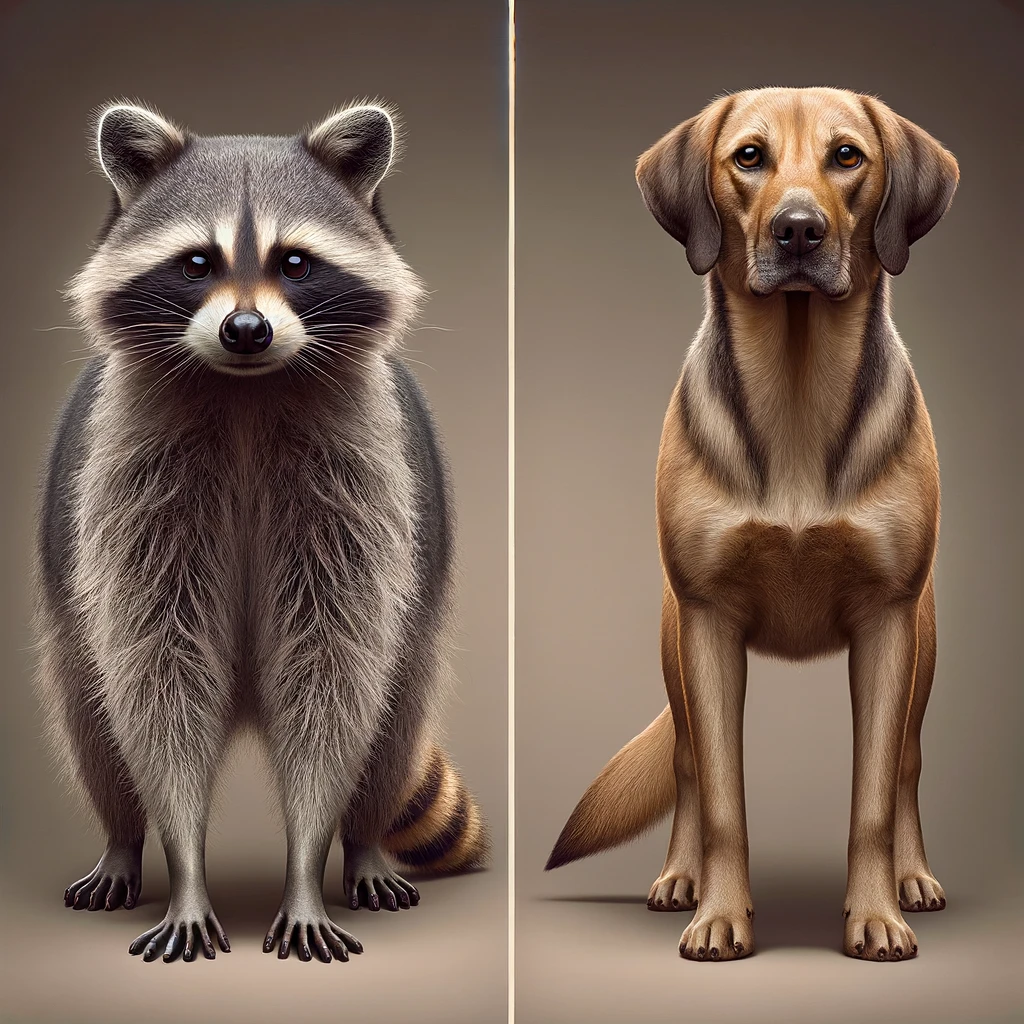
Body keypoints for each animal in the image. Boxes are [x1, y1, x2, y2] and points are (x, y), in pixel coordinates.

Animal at [33, 101, 488, 964]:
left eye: (297, 263)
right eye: (197, 263)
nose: (246, 329)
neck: (245, 391)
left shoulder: (362, 477)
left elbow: (333, 669)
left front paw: (309, 863)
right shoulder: (128, 477)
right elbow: (155, 668)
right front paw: (182, 865)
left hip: (417, 614)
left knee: (391, 716)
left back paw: (364, 843)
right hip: (71, 614)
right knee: (92, 720)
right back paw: (120, 842)